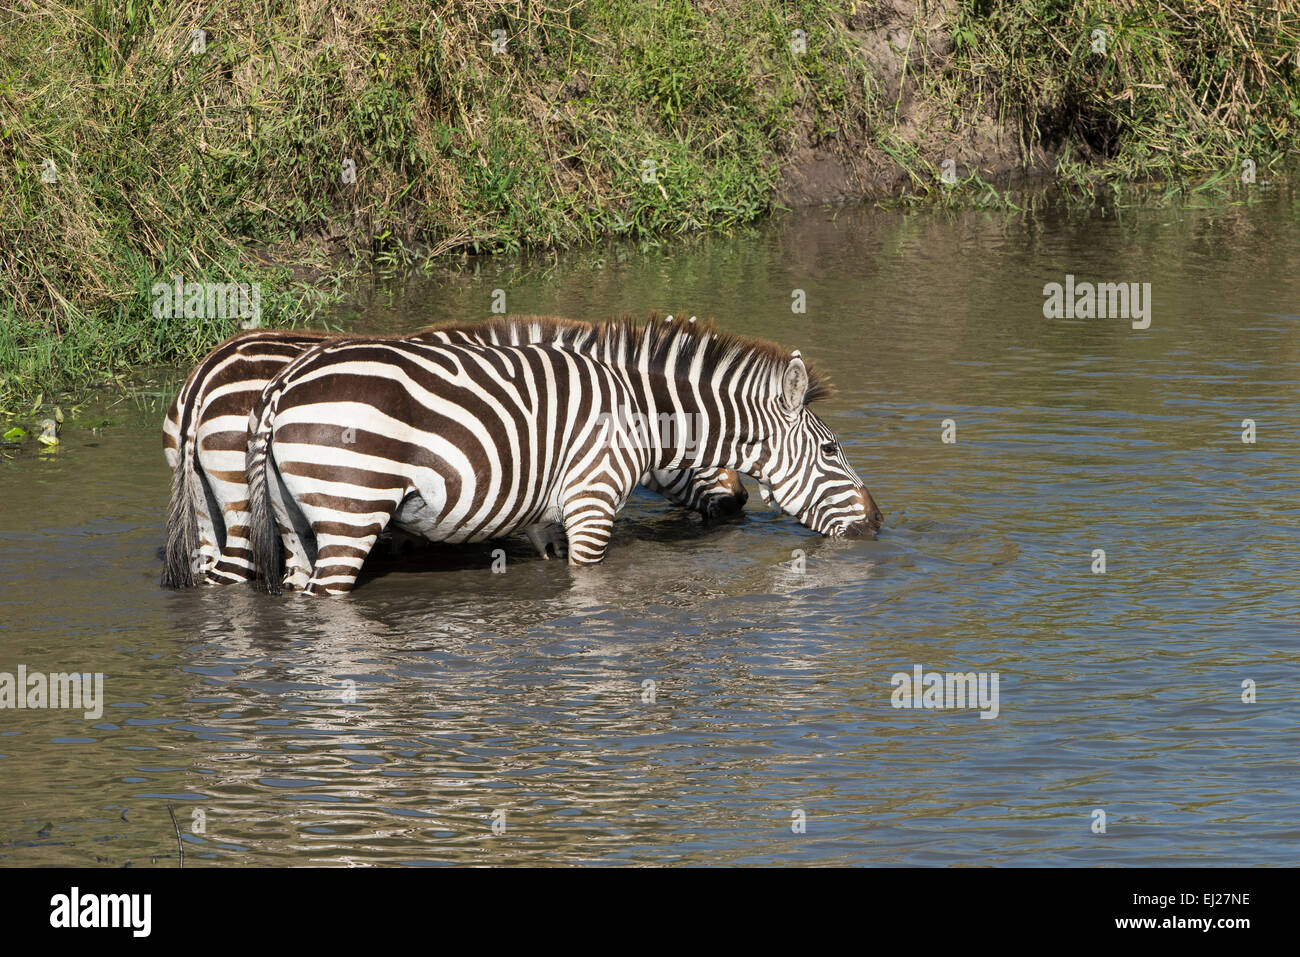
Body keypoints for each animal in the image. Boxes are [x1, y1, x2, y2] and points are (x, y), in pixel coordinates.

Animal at [246, 314, 883, 596]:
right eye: (831, 449)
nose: (878, 524)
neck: (637, 411)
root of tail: (282, 385)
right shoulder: (593, 504)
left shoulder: (545, 518)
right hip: (352, 504)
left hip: (295, 522)